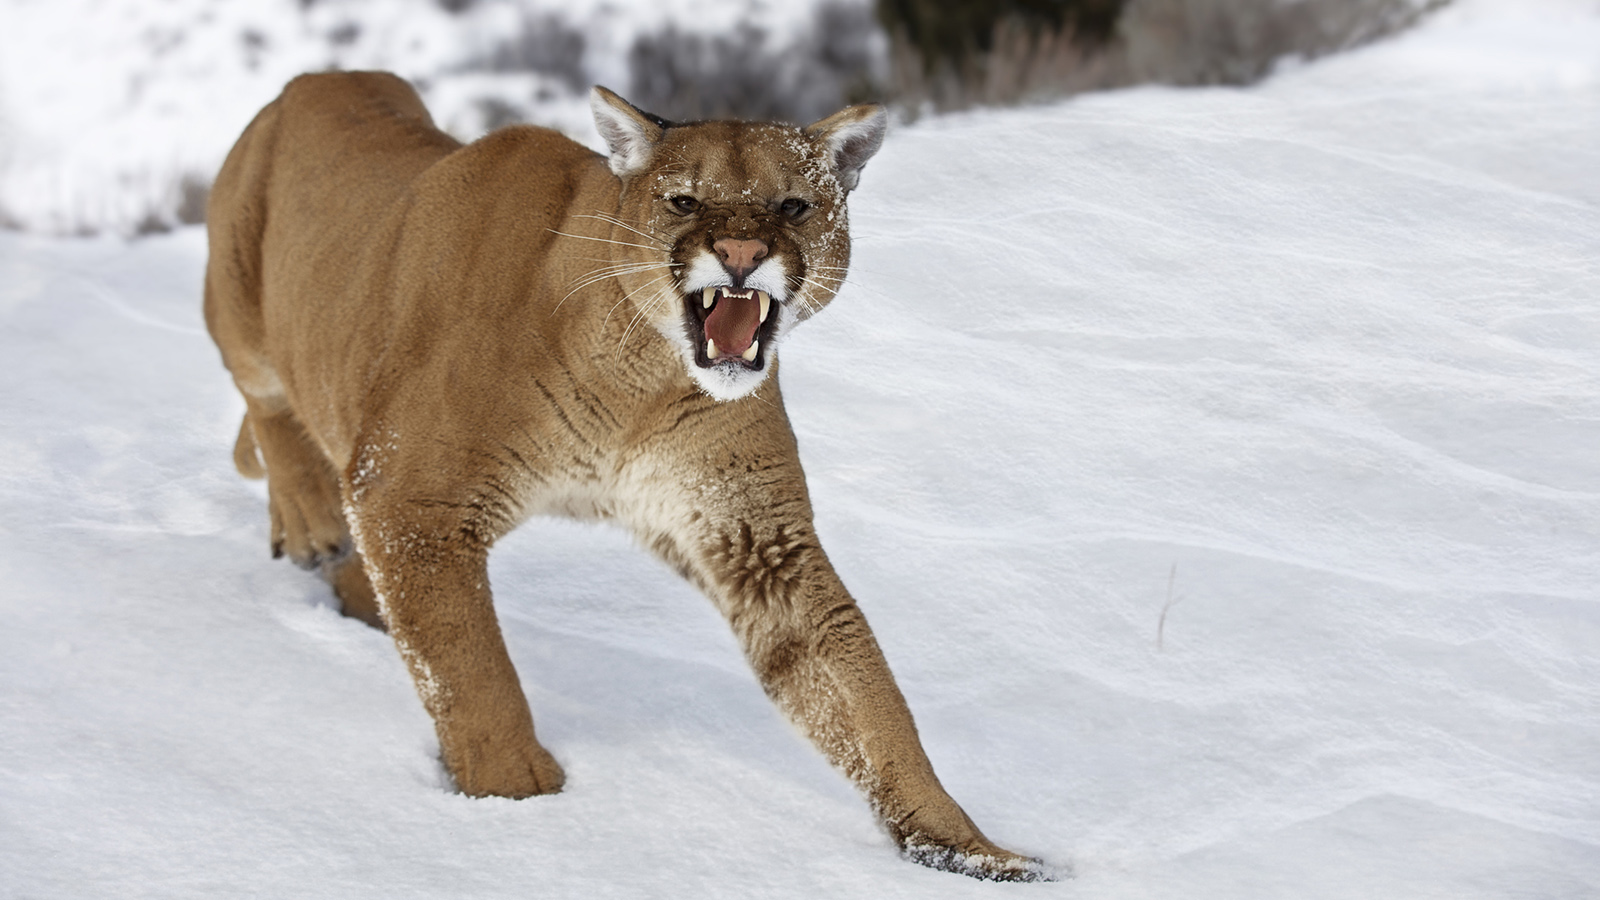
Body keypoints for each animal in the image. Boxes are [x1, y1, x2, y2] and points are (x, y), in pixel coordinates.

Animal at [203, 71, 1046, 881]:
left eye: (793, 203)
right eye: (684, 200)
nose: (741, 255)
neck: (637, 375)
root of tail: (313, 80)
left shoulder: (754, 534)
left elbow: (860, 688)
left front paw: (966, 847)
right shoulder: (413, 498)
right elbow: (470, 666)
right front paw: (518, 802)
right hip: (239, 301)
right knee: (267, 399)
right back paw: (311, 525)